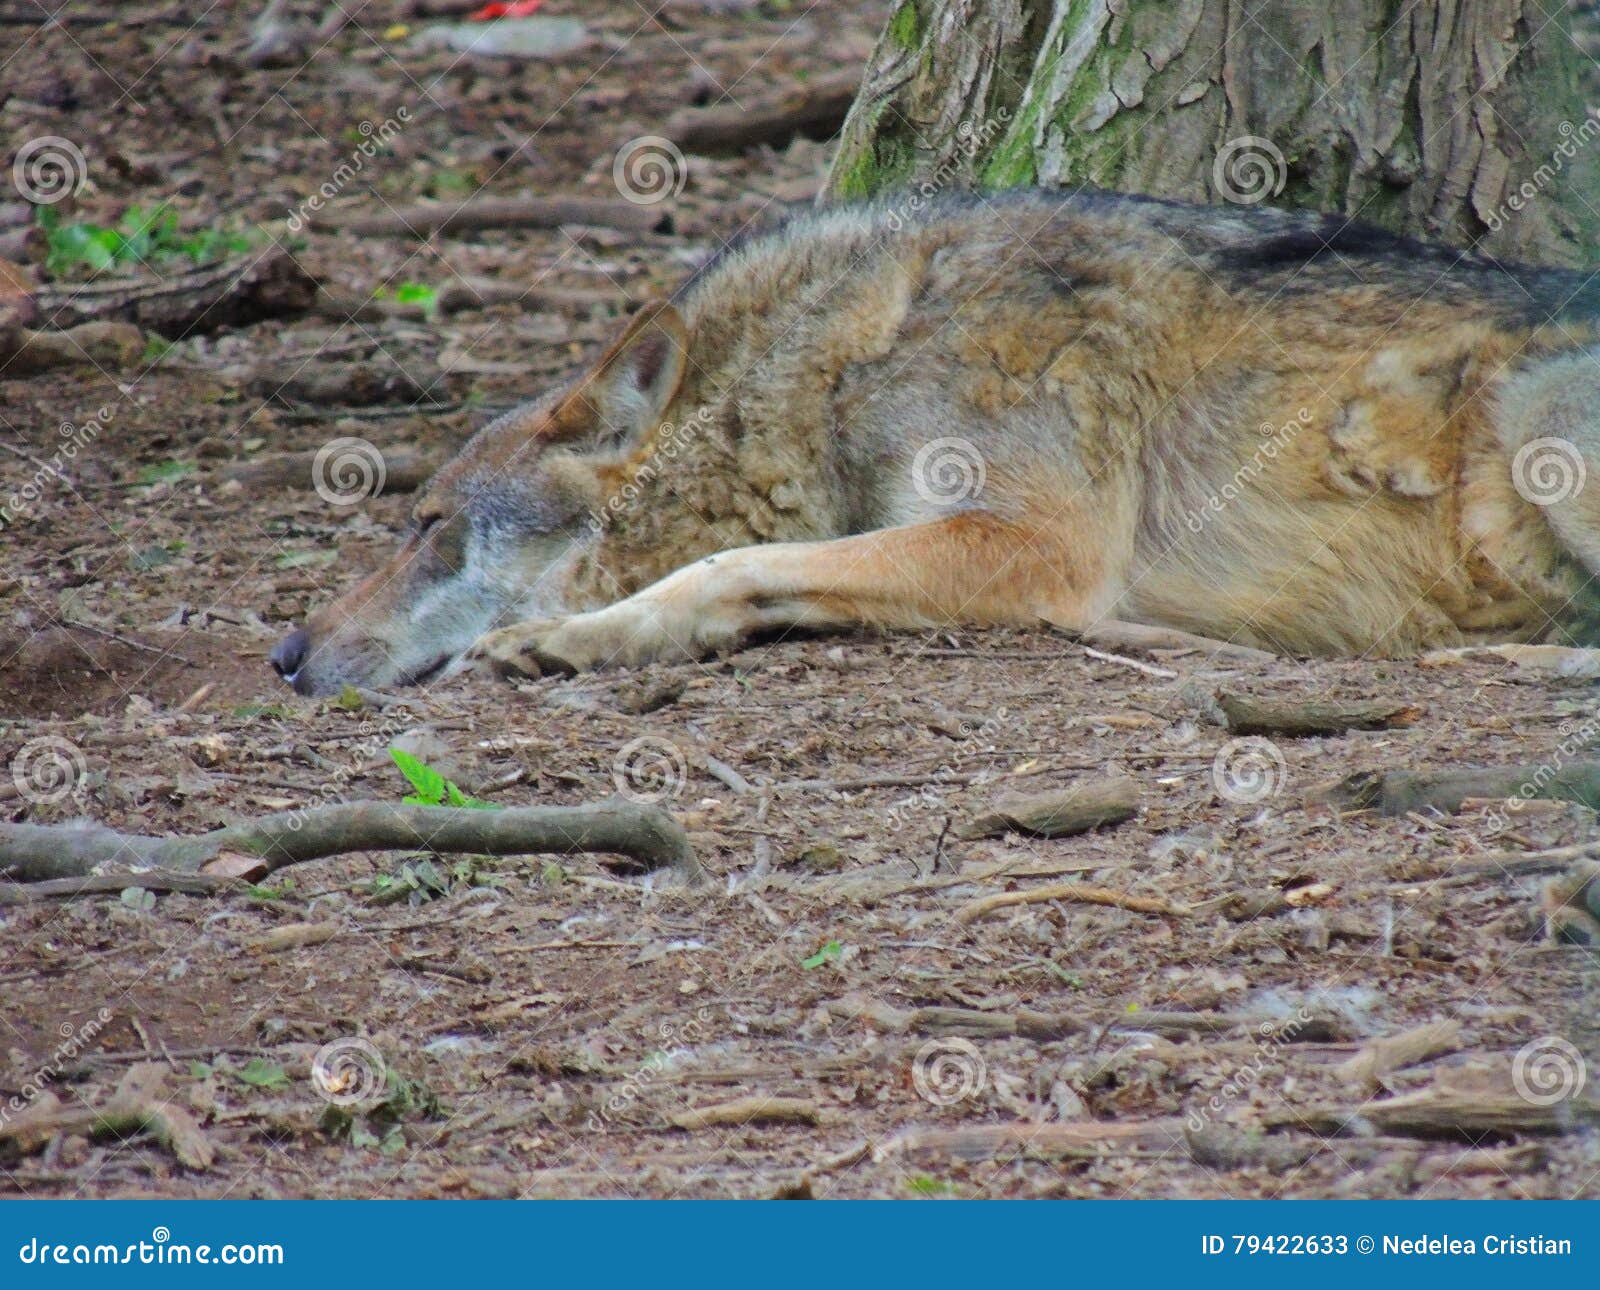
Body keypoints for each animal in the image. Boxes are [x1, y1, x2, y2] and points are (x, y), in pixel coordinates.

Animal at [269, 189, 1600, 696]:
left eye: (425, 527)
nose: (281, 653)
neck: (843, 365)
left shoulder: (1036, 543)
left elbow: (721, 563)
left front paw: (574, 636)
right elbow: (761, 572)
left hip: (1540, 427)